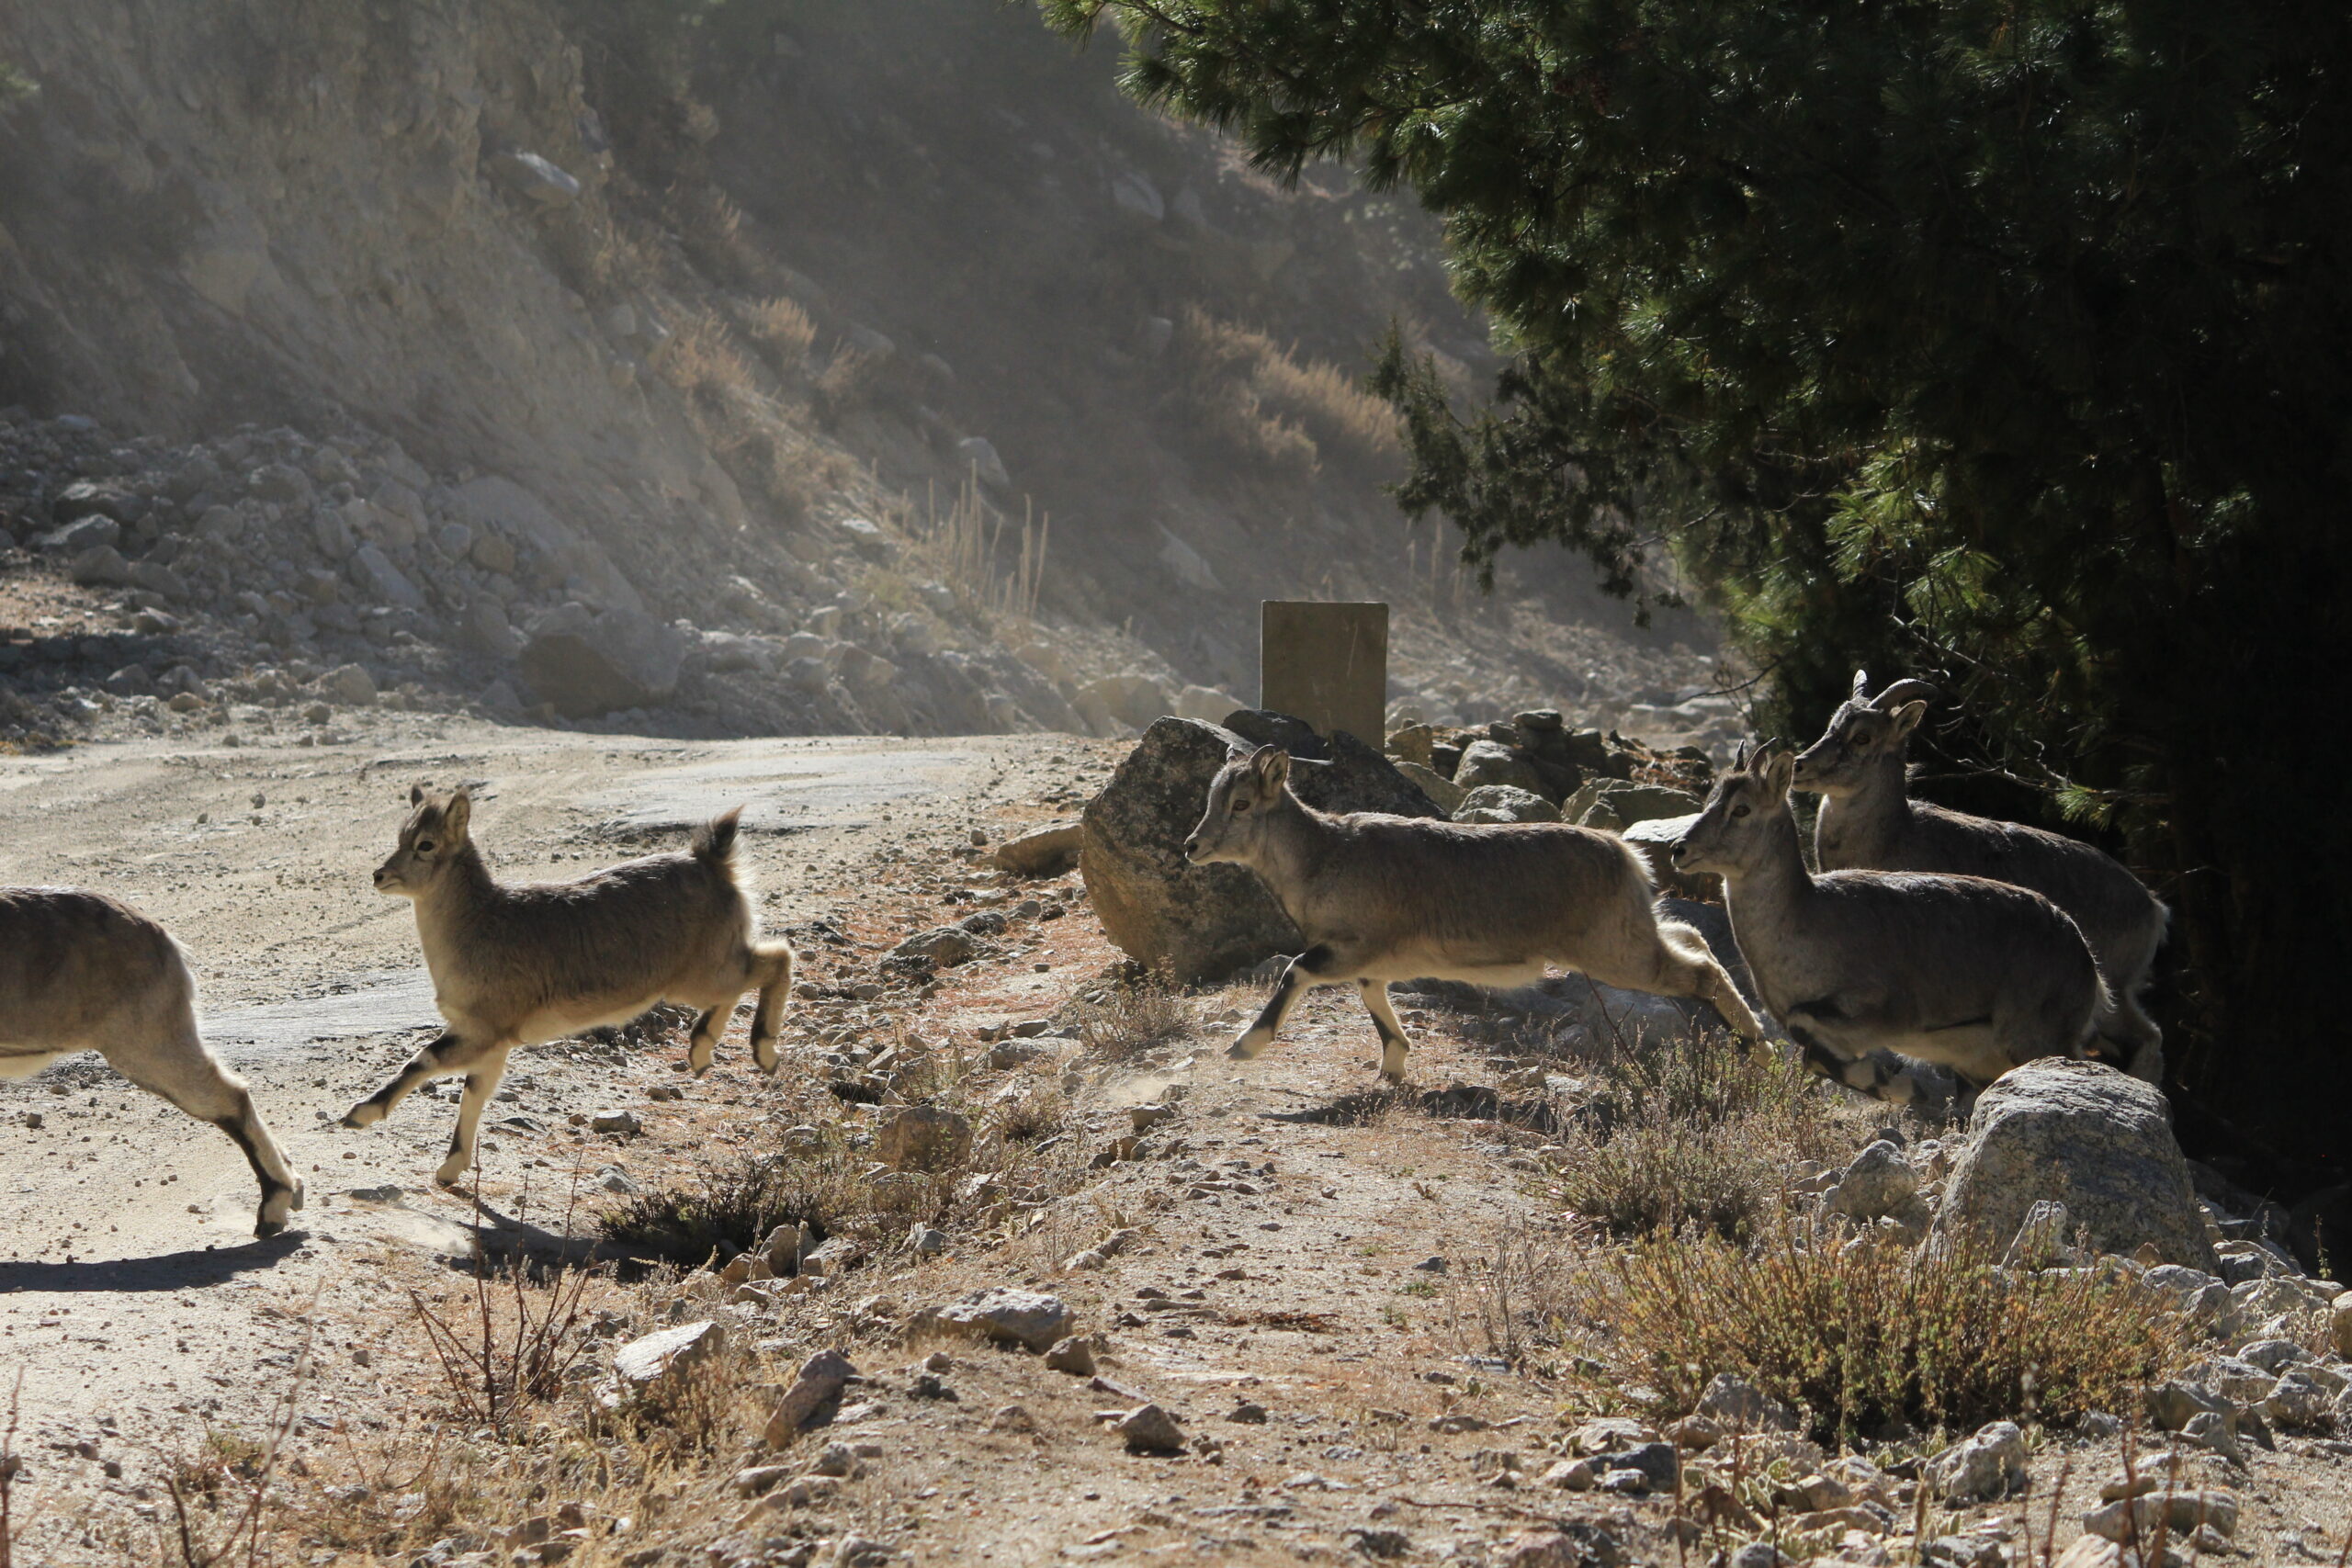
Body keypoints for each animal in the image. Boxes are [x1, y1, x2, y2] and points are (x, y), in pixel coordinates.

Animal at [342, 786, 794, 1184]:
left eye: (426, 844)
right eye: (400, 837)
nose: (380, 875)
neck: (480, 923)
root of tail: (714, 861)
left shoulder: (483, 1028)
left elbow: (423, 1060)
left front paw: (359, 1115)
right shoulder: (493, 1043)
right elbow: (473, 1094)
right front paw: (450, 1170)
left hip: (702, 974)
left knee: (778, 958)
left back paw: (764, 1053)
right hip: (706, 972)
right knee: (749, 977)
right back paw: (701, 1051)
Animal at [1184, 745, 1764, 1080]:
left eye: (1240, 803)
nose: (1193, 846)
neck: (1320, 857)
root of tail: (1627, 858)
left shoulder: (1350, 946)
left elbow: (1294, 971)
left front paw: (1244, 1046)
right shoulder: (1369, 962)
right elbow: (1375, 1002)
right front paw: (1392, 1067)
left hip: (1616, 953)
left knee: (1700, 971)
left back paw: (1756, 1045)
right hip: (1633, 934)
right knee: (1693, 937)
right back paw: (1753, 1040)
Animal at [1672, 743, 2105, 1101]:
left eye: (1742, 809)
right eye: (1710, 799)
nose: (1680, 849)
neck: (1804, 920)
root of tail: (2086, 958)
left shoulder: (1884, 1008)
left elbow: (1809, 1030)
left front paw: (1898, 1087)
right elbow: (1811, 1050)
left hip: (2036, 1038)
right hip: (1988, 1060)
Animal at [1792, 671, 2168, 1081]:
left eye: (1863, 736)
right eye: (1832, 724)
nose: (1799, 765)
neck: (1896, 835)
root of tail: (2154, 908)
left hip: (2114, 988)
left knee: (2149, 1037)